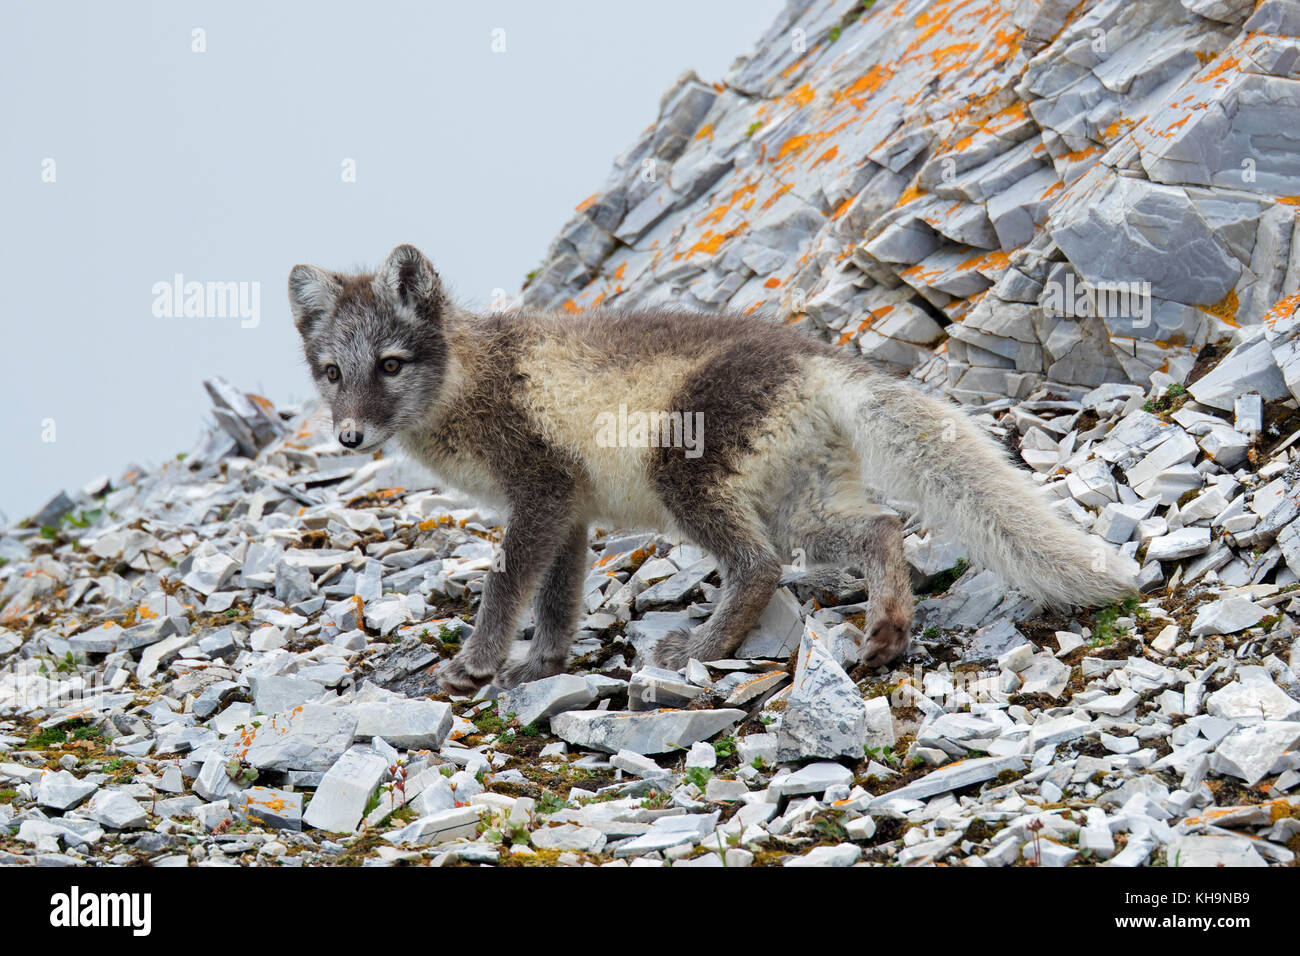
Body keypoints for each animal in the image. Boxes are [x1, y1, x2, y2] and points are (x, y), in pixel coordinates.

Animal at [288, 244, 1138, 695]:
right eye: (331, 372)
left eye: (391, 364)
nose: (350, 437)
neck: (469, 379)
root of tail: (811, 357)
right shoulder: (573, 512)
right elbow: (558, 598)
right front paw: (545, 665)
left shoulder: (542, 491)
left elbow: (506, 585)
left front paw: (476, 665)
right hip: (803, 504)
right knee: (880, 527)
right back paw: (887, 632)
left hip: (690, 479)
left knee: (758, 566)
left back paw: (700, 650)